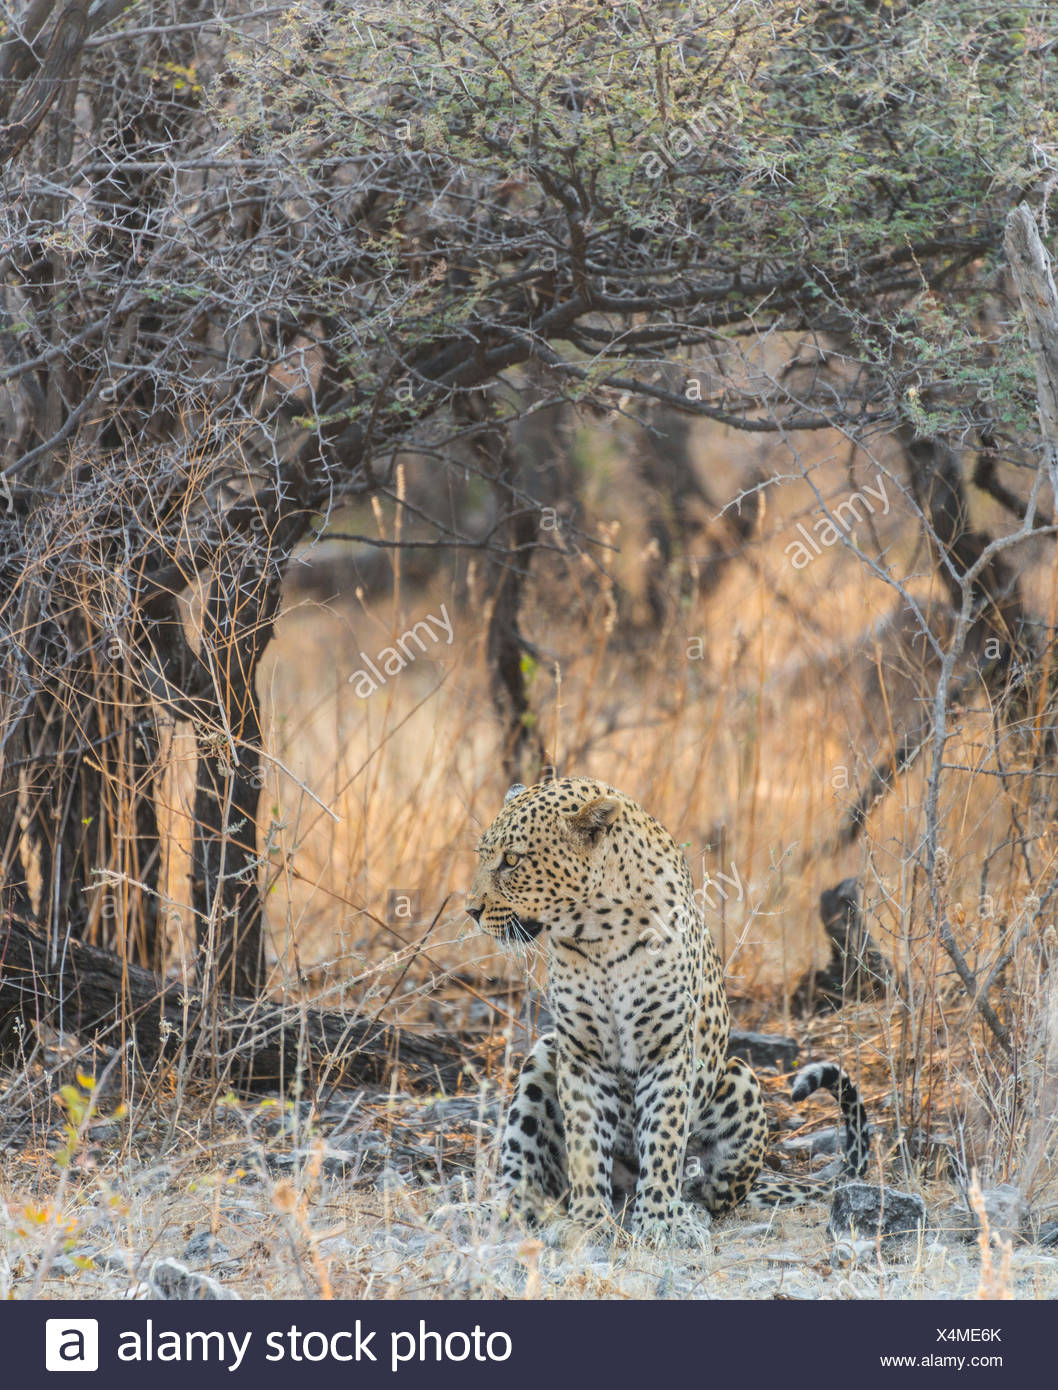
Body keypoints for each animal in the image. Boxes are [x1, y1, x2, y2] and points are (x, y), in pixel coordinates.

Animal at [466, 776, 871, 1248]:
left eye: (512, 860)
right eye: (483, 856)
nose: (471, 911)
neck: (595, 934)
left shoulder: (667, 1049)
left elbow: (662, 1137)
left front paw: (659, 1222)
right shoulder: (582, 1055)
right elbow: (586, 1144)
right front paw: (588, 1222)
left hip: (741, 1080)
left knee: (713, 1195)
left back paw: (687, 1213)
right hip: (543, 1056)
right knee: (523, 1183)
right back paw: (494, 1212)